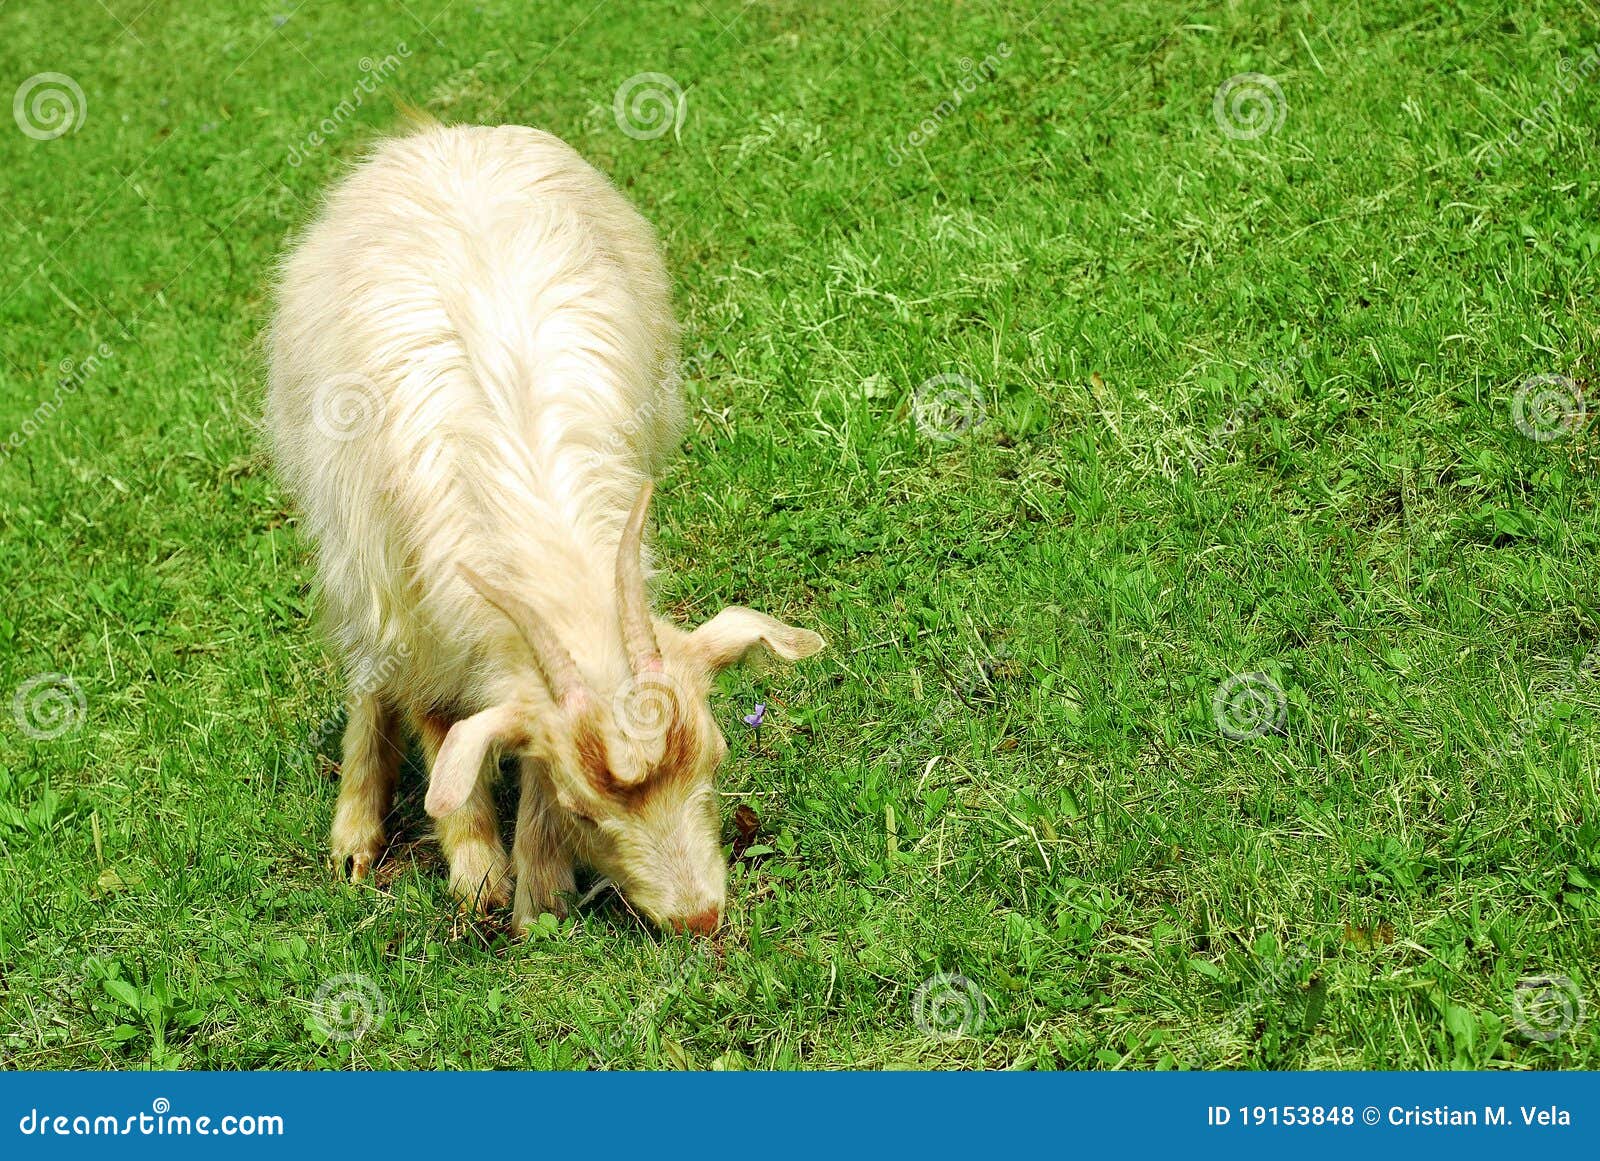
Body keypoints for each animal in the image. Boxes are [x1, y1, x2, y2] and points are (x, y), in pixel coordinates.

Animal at [266, 124, 823, 935]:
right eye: (586, 809)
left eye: (718, 758)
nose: (699, 918)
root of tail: (440, 135)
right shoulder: (414, 599)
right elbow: (434, 716)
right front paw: (478, 875)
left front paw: (539, 893)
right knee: (369, 675)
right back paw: (355, 835)